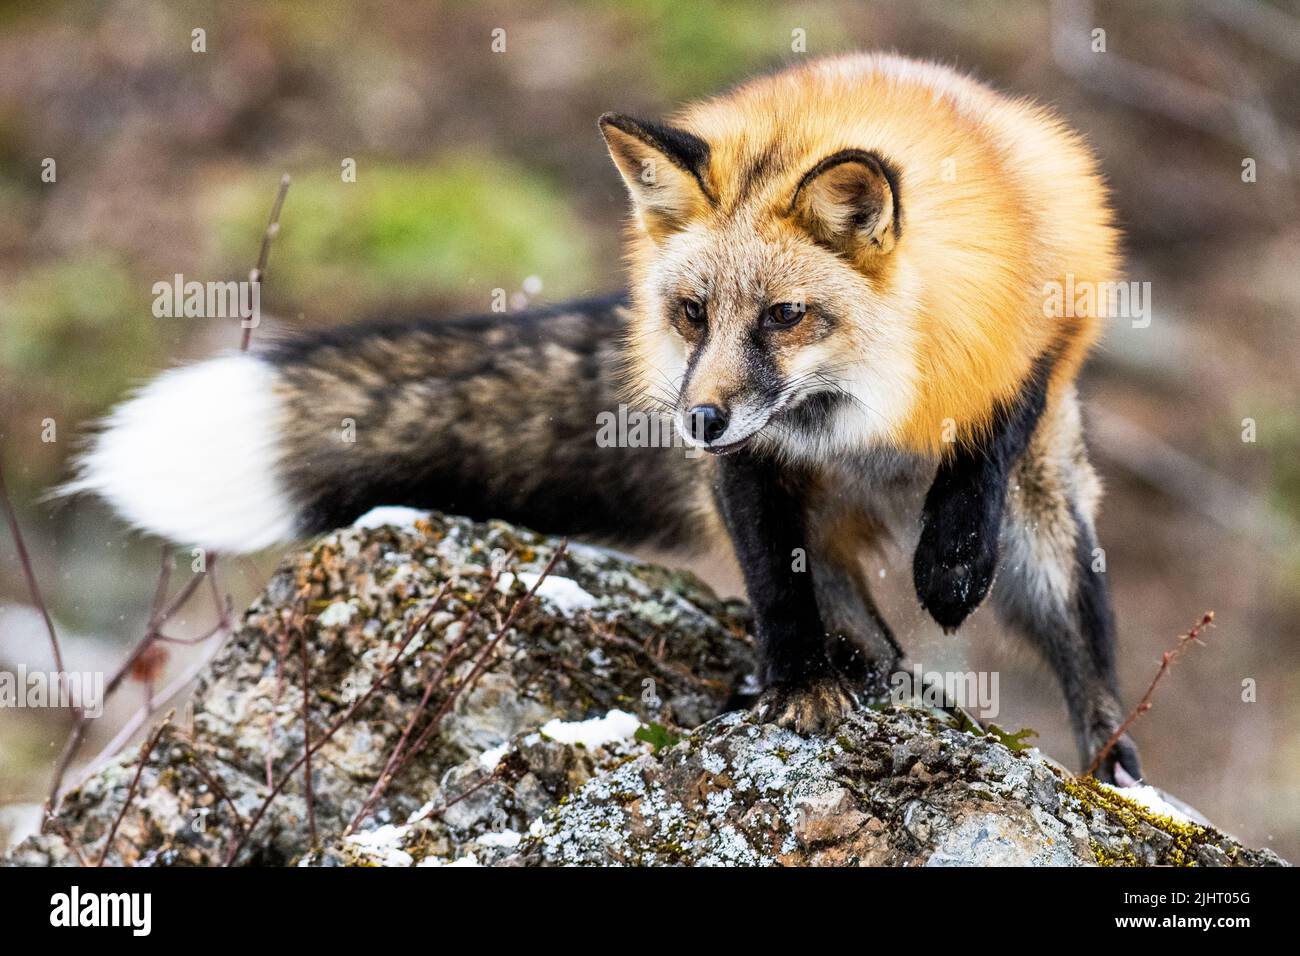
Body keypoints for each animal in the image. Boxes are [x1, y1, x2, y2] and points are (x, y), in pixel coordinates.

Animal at [65, 53, 1141, 784]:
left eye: (785, 316)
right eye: (693, 312)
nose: (699, 417)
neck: (852, 413)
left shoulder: (1037, 320)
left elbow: (988, 434)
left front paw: (949, 560)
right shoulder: (749, 464)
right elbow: (773, 578)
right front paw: (796, 686)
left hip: (1049, 547)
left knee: (1084, 658)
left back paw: (1116, 768)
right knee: (847, 608)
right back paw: (866, 670)